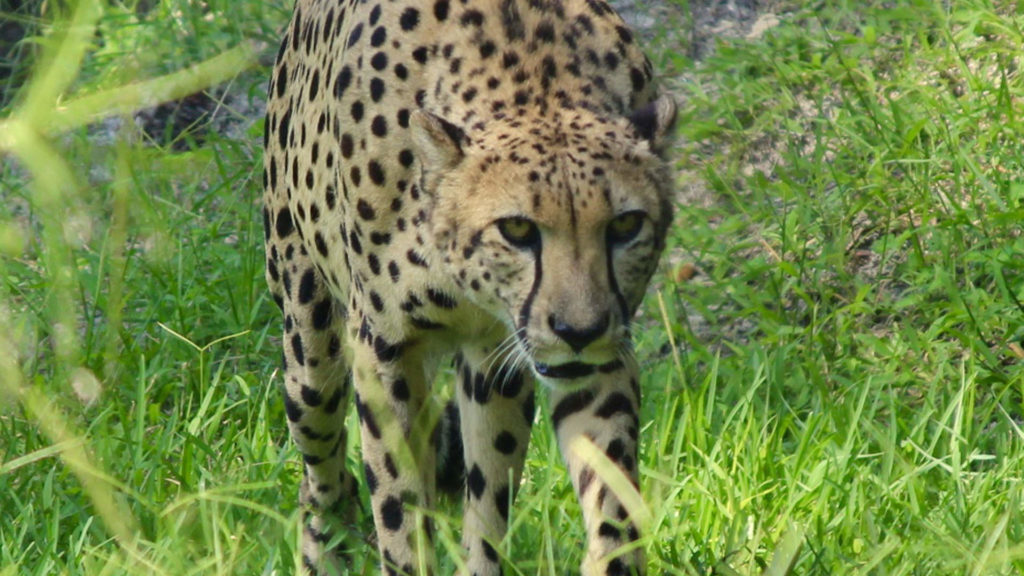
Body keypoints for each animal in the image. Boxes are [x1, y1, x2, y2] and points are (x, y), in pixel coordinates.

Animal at [262, 0, 676, 573]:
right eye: (518, 229)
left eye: (626, 225)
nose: (578, 330)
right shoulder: (385, 350)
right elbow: (398, 504)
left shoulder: (569, 355)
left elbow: (607, 497)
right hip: (309, 349)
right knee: (323, 469)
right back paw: (324, 546)